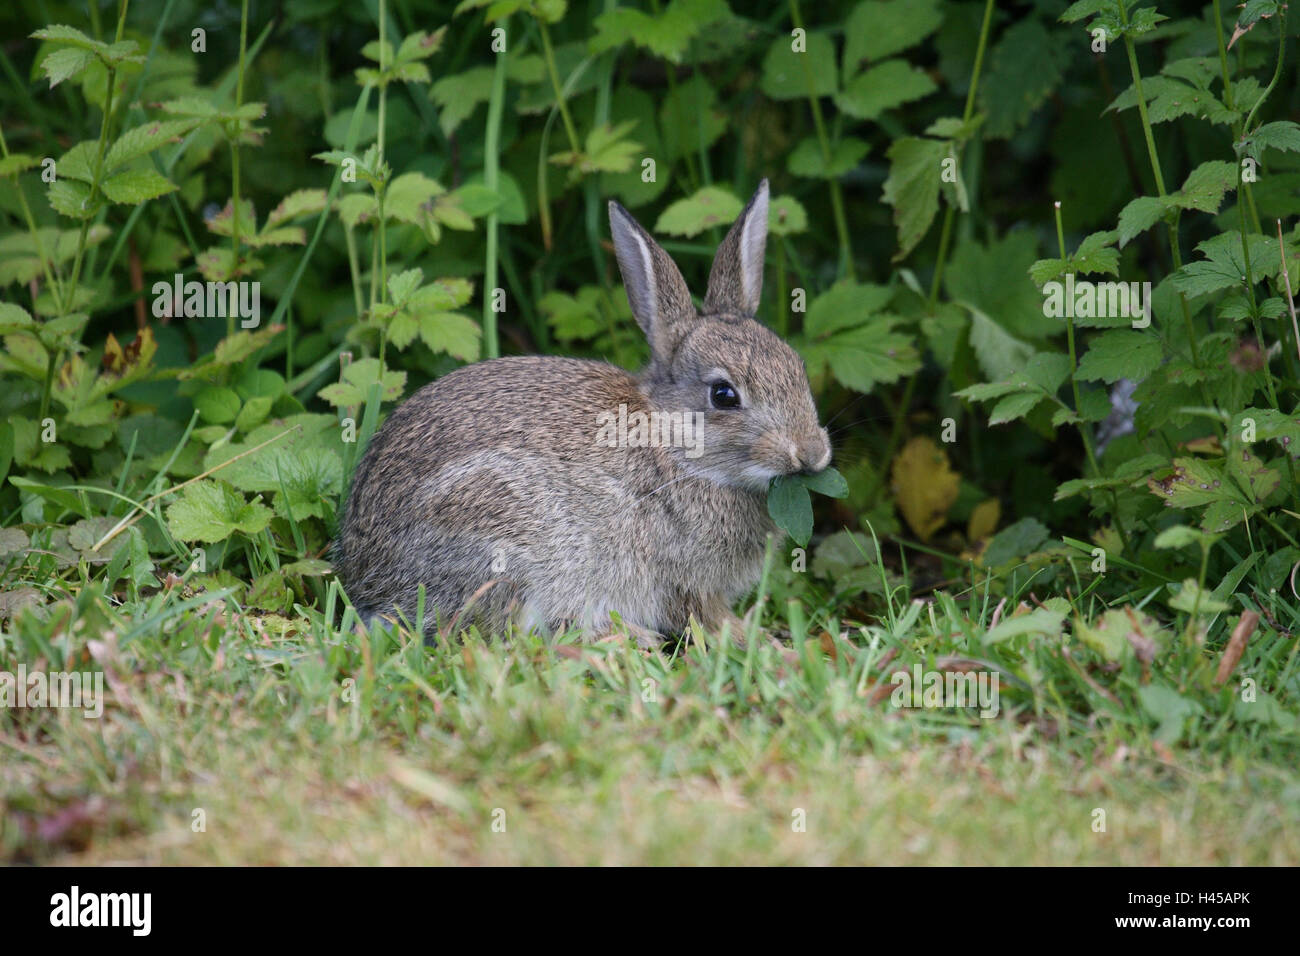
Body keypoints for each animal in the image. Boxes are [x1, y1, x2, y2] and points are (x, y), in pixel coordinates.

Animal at [335, 179, 832, 644]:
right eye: (724, 395)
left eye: (798, 367)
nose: (811, 453)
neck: (673, 445)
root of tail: (368, 578)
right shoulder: (684, 578)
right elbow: (704, 616)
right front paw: (759, 640)